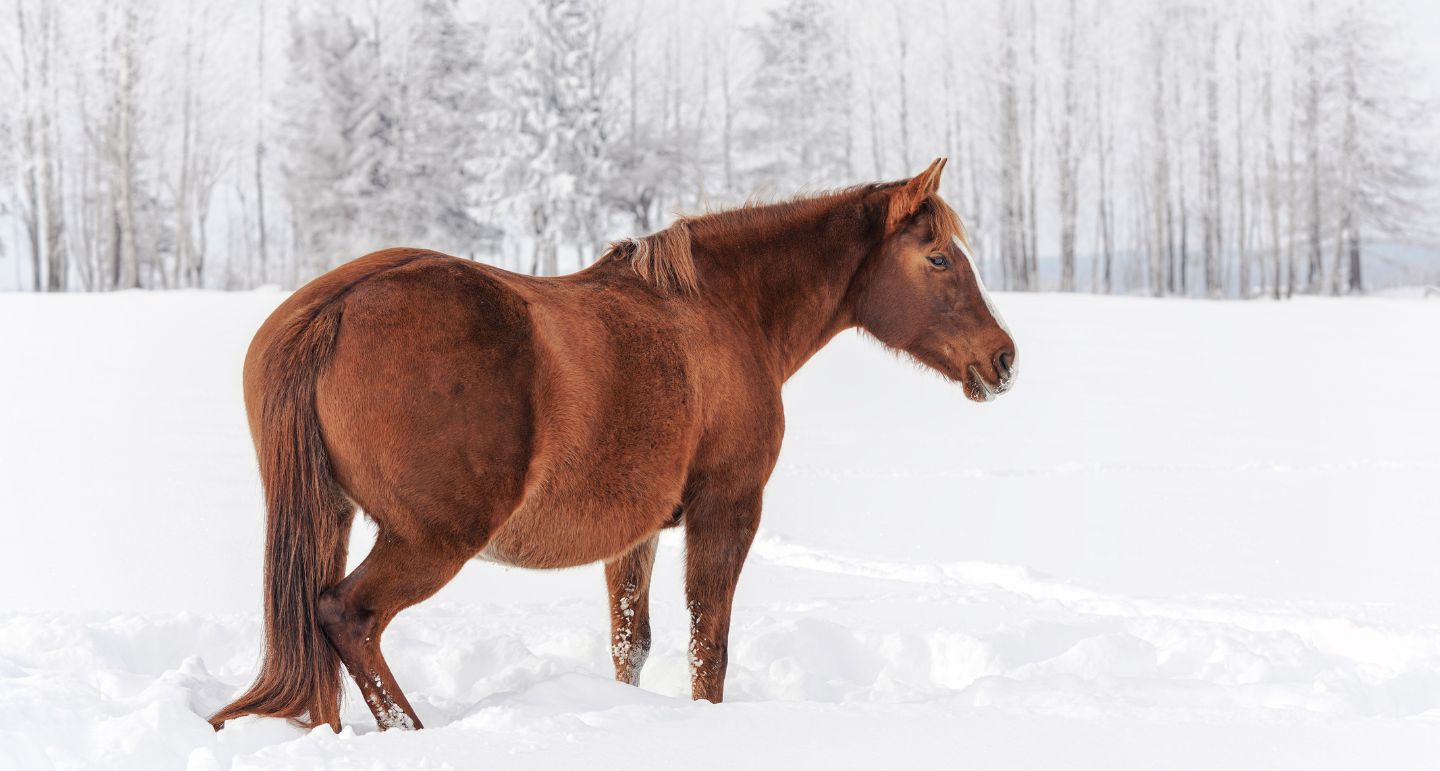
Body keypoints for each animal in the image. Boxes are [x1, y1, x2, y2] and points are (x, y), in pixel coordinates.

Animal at [209, 158, 1017, 732]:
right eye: (939, 258)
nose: (1003, 358)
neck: (724, 311)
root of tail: (337, 307)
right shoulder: (727, 511)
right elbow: (709, 643)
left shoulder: (636, 534)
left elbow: (633, 641)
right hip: (429, 539)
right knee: (346, 617)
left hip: (340, 519)